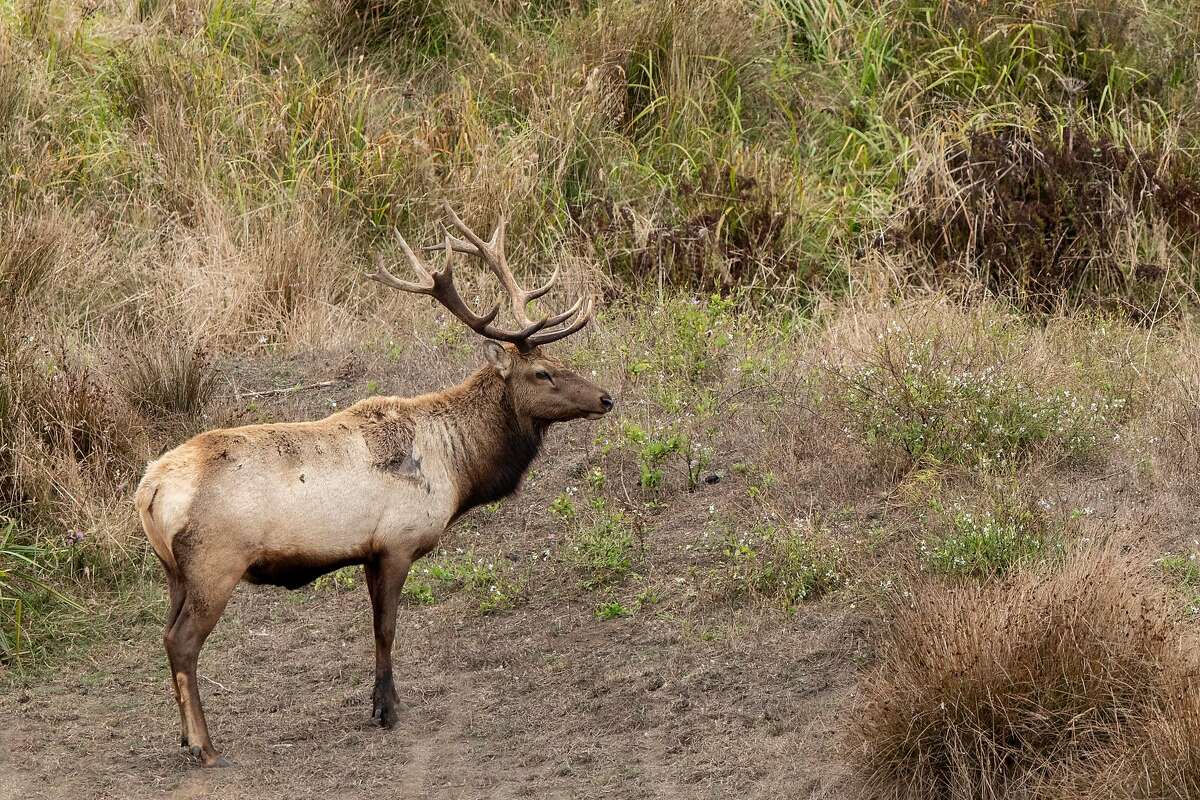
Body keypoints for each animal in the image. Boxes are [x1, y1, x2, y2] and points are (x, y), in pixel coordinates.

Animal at [135, 203, 613, 767]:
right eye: (541, 373)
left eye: (563, 363)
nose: (605, 398)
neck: (458, 468)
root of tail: (148, 491)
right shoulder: (397, 541)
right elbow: (386, 628)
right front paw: (388, 710)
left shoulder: (367, 550)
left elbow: (374, 626)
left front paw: (379, 703)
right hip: (215, 564)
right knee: (183, 642)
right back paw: (206, 746)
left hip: (173, 572)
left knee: (165, 635)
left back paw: (184, 737)